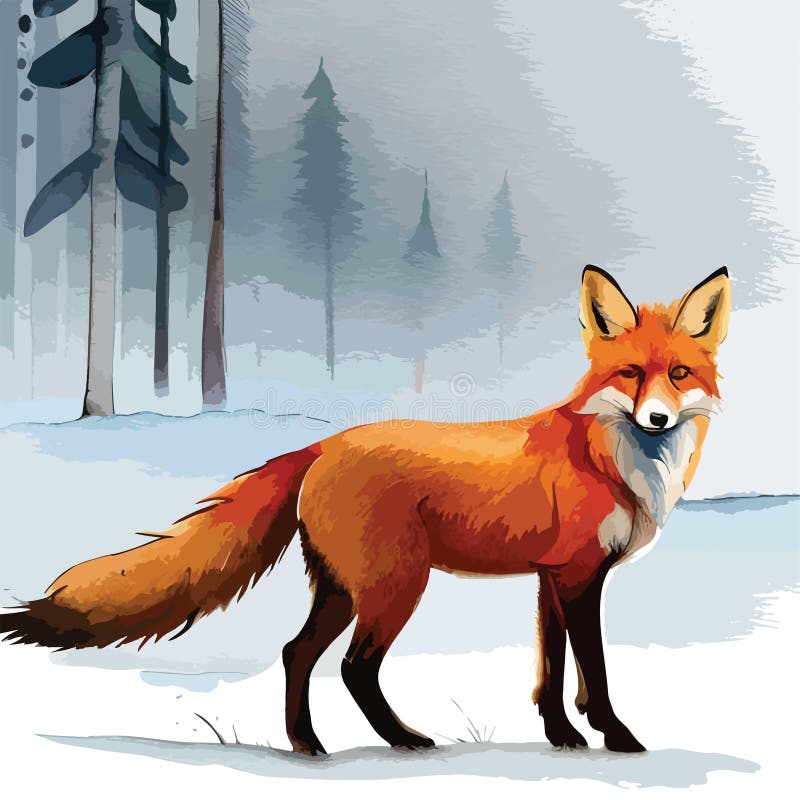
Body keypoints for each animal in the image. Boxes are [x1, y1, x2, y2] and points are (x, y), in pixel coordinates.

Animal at [1, 265, 730, 756]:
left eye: (679, 375)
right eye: (630, 374)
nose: (658, 418)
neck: (611, 458)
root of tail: (324, 444)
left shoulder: (552, 578)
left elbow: (551, 675)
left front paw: (562, 737)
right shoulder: (577, 578)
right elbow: (594, 673)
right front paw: (617, 738)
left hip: (343, 590)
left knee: (295, 653)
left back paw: (307, 747)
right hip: (395, 585)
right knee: (354, 667)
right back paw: (402, 740)